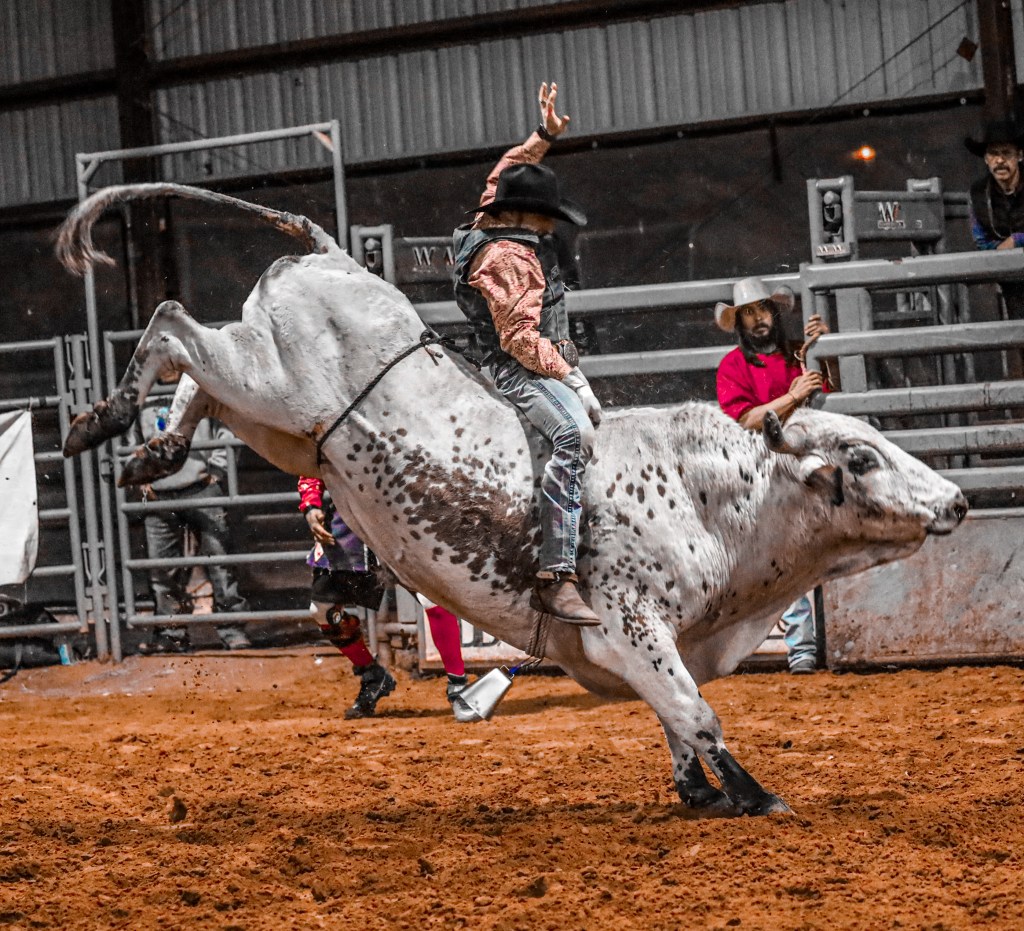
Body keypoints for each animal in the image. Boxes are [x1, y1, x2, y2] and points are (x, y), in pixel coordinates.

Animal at [56, 183, 968, 817]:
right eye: (861, 456)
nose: (957, 501)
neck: (706, 498)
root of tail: (328, 252)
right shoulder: (634, 619)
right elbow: (695, 712)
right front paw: (750, 792)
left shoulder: (652, 640)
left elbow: (674, 720)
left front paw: (699, 790)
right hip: (269, 383)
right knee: (171, 322)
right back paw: (96, 421)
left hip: (268, 409)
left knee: (194, 375)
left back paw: (152, 450)